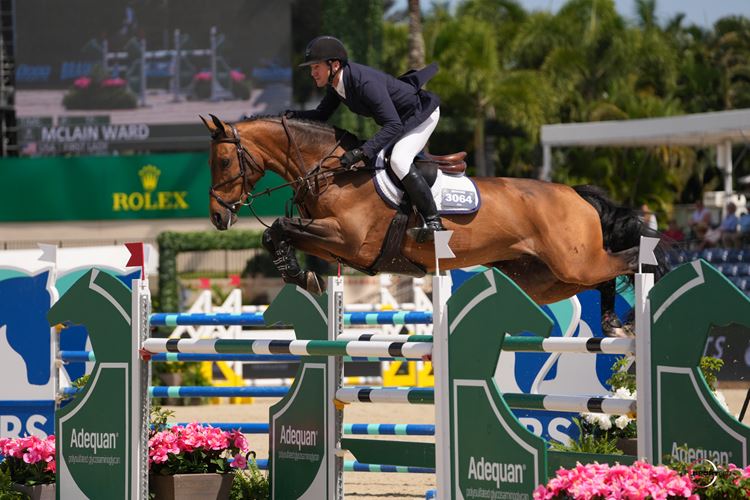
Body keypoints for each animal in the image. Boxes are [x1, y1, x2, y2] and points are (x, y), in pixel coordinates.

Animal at [201, 113, 665, 334]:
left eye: (222, 161)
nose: (218, 216)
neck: (333, 171)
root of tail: (574, 194)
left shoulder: (350, 241)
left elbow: (279, 225)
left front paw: (299, 274)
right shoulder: (335, 244)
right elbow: (275, 232)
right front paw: (298, 274)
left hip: (573, 263)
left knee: (628, 261)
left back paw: (633, 312)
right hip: (548, 278)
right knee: (604, 278)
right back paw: (612, 322)